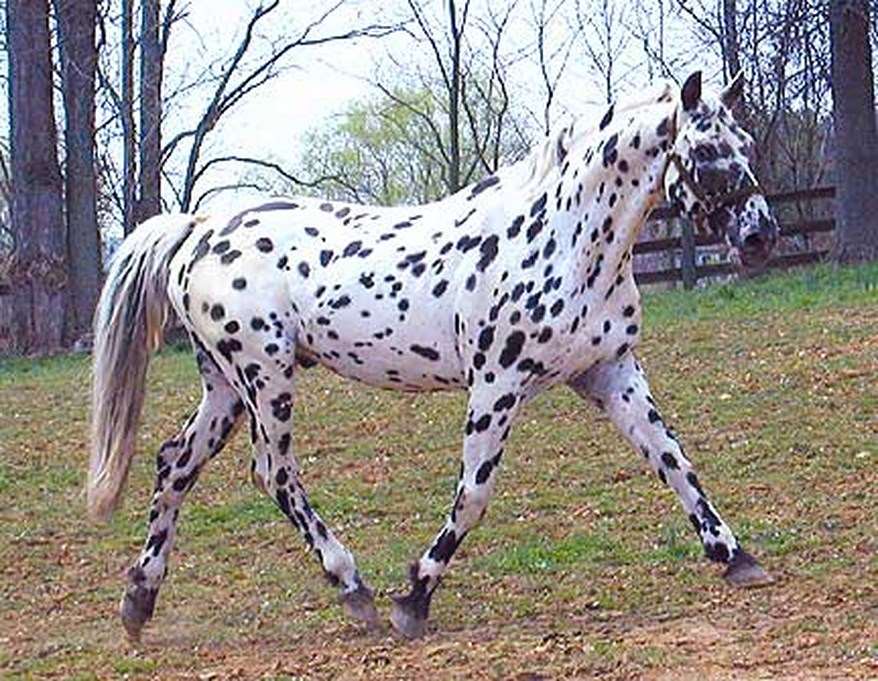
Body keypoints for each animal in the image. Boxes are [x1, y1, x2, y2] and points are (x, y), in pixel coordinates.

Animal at [89, 71, 777, 641]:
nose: (760, 236)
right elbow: (473, 495)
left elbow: (675, 461)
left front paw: (737, 558)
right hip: (266, 377)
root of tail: (199, 231)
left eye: (746, 141)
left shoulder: (611, 374)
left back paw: (139, 602)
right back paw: (354, 589)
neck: (563, 237)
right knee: (272, 474)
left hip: (227, 386)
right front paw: (414, 598)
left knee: (175, 464)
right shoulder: (497, 385)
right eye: (707, 150)